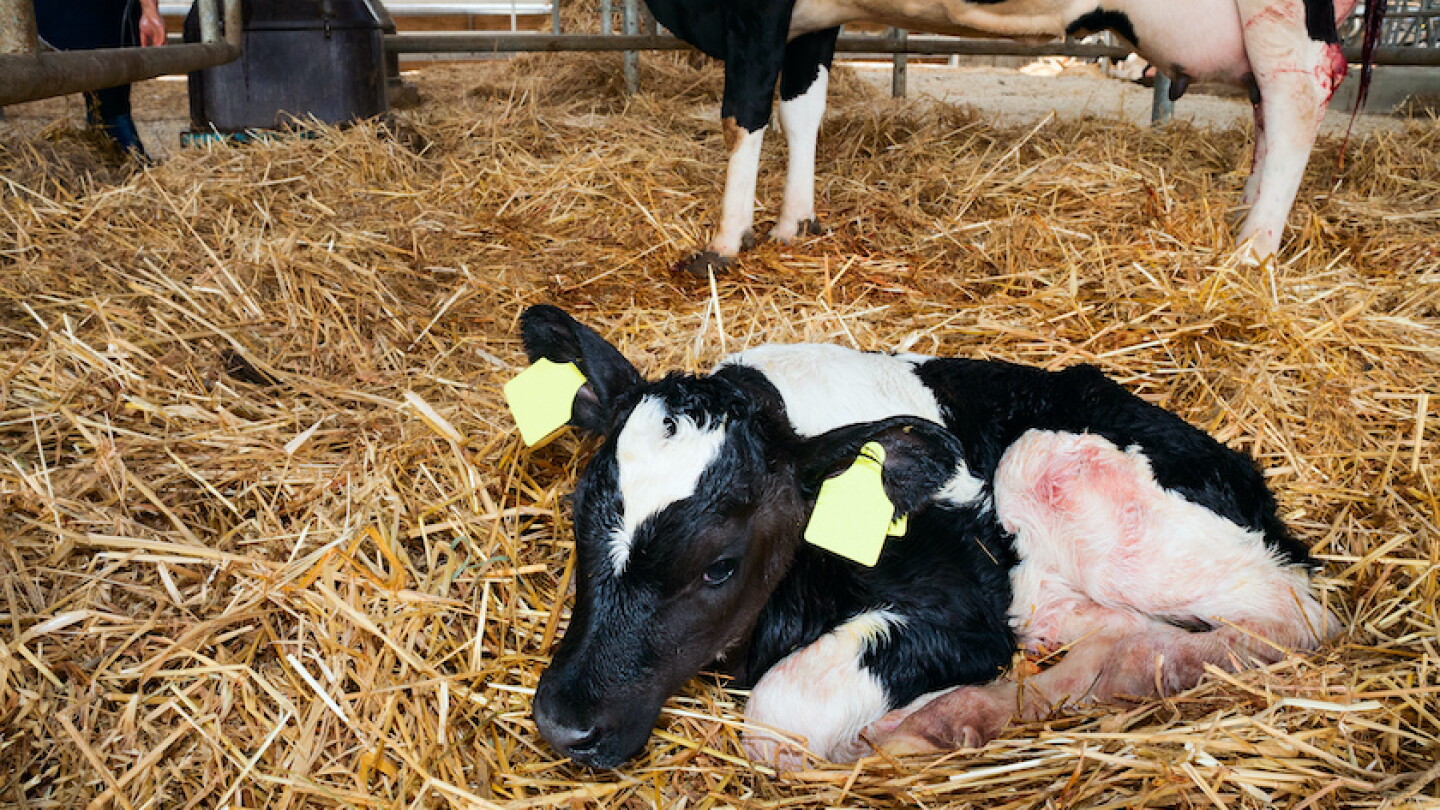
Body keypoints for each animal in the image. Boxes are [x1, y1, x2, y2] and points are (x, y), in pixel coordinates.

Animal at [516, 304, 1340, 769]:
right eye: (578, 514)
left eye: (720, 565)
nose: (563, 725)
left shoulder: (966, 607)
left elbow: (781, 713)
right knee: (1109, 635)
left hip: (1049, 463)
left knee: (1290, 620)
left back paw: (939, 720)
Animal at [640, 0, 1388, 274]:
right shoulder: (808, 21)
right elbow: (802, 109)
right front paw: (795, 223)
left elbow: (743, 114)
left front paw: (723, 241)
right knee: (1267, 105)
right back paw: (1243, 217)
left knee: (1297, 90)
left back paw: (1251, 249)